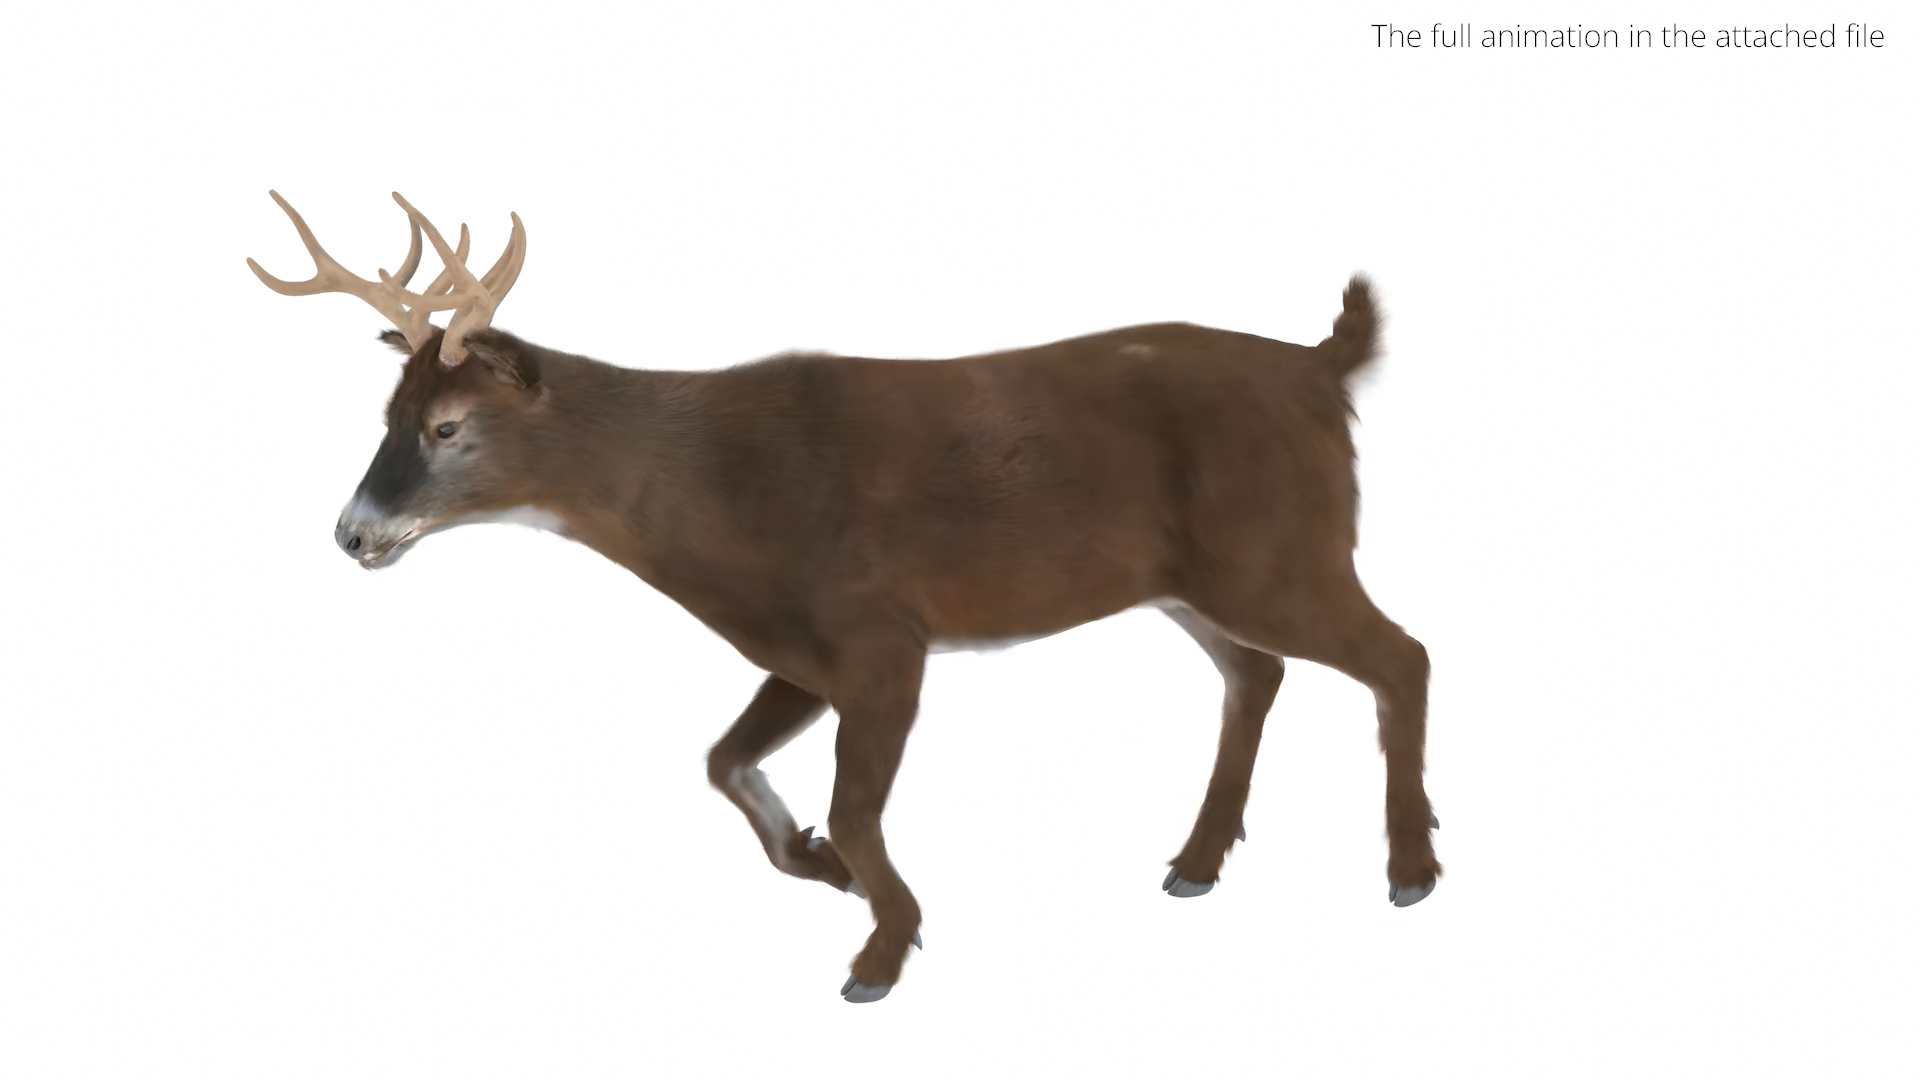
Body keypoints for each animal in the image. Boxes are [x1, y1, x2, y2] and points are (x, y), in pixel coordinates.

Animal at [249, 191, 1441, 1003]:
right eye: (386, 416)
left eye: (447, 426)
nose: (353, 532)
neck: (713, 499)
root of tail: (1322, 369)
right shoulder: (797, 645)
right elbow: (724, 764)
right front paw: (829, 872)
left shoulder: (879, 634)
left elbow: (859, 803)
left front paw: (881, 945)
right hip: (1196, 578)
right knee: (1259, 671)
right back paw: (1195, 863)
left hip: (1281, 548)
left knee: (1401, 655)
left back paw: (1412, 867)